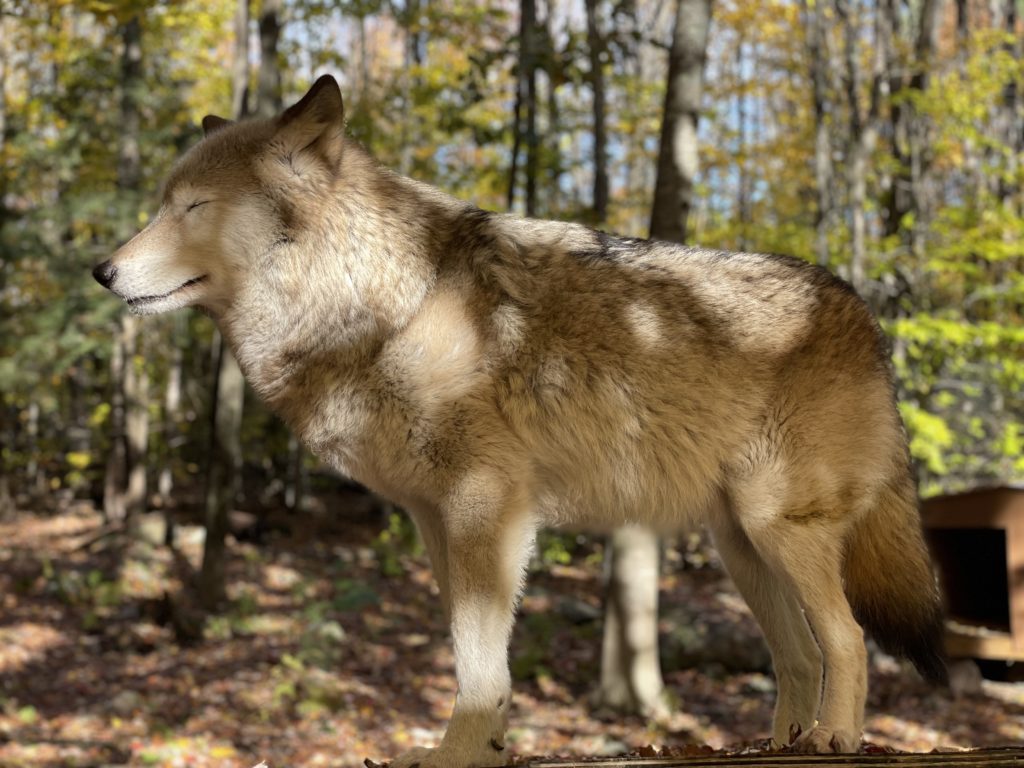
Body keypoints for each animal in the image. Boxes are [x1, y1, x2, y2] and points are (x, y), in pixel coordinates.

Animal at [93, 75, 946, 767]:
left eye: (192, 208)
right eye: (162, 205)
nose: (101, 270)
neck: (388, 305)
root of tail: (864, 316)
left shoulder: (485, 506)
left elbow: (477, 663)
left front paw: (453, 755)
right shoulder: (435, 519)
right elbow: (474, 655)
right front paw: (484, 751)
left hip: (778, 530)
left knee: (847, 639)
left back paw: (836, 738)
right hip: (741, 548)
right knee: (800, 655)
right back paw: (778, 746)